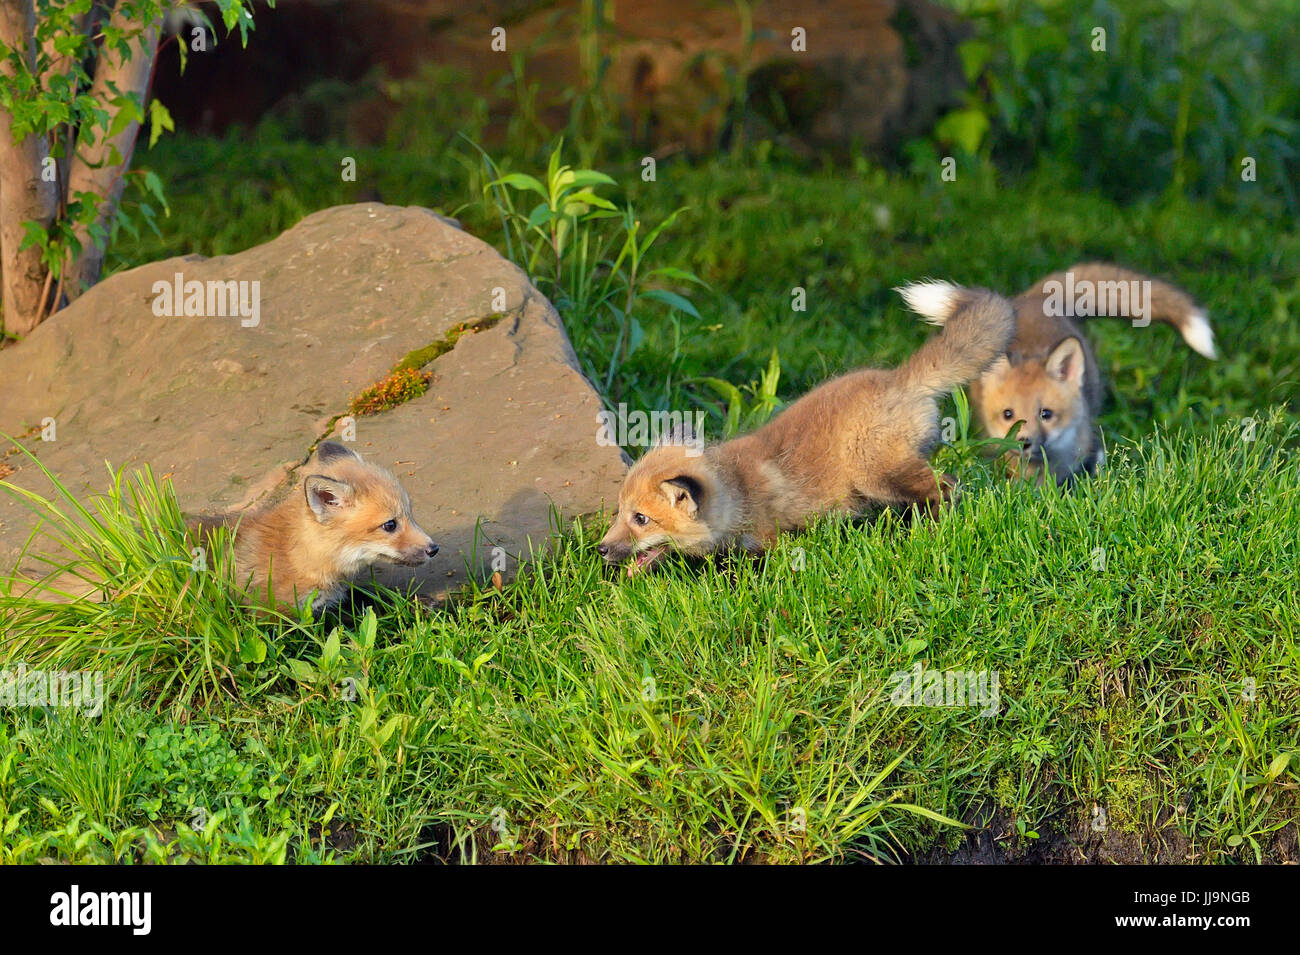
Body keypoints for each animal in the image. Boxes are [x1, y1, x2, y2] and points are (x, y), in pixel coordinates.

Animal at [190, 441, 438, 612]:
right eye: (390, 525)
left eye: (410, 514)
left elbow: (375, 598)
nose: (434, 549)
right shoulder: (277, 618)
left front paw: (417, 604)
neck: (297, 557)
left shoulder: (339, 598)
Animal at [598, 282, 1016, 574]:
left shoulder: (770, 541)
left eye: (641, 519)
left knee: (947, 487)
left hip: (879, 475)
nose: (598, 549)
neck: (737, 492)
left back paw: (932, 533)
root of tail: (899, 377)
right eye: (619, 512)